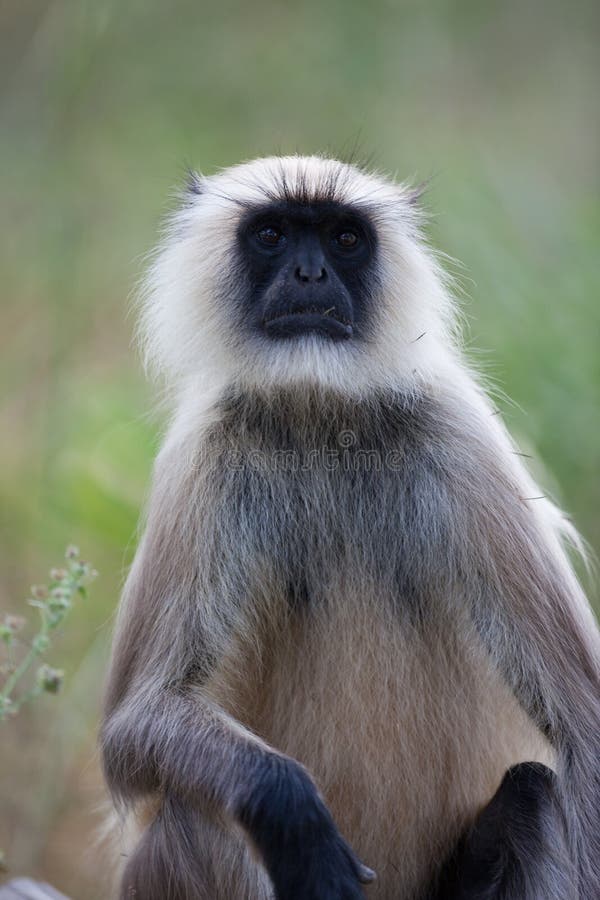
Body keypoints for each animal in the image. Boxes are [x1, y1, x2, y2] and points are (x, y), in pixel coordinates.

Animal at [100, 155, 600, 900]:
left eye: (343, 238)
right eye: (273, 234)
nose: (310, 275)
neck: (319, 413)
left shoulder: (459, 434)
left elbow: (583, 725)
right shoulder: (204, 460)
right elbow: (132, 728)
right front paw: (289, 807)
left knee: (534, 790)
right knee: (193, 814)